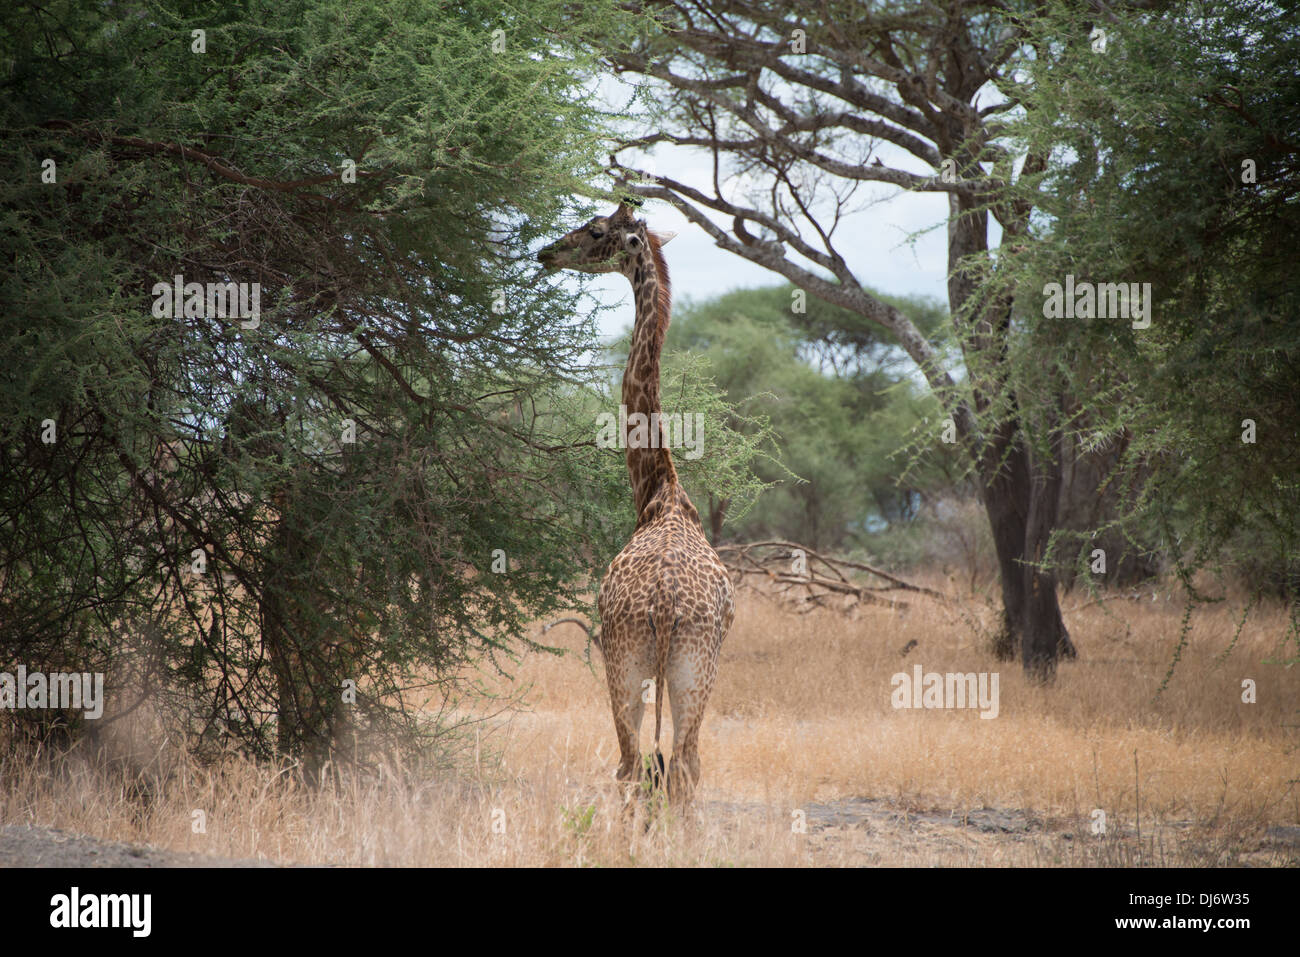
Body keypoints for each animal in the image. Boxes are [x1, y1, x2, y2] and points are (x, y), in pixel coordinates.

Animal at [538, 203, 735, 805]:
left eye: (596, 230)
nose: (546, 251)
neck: (660, 492)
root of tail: (668, 608)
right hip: (696, 670)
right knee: (685, 766)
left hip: (624, 663)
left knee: (630, 766)